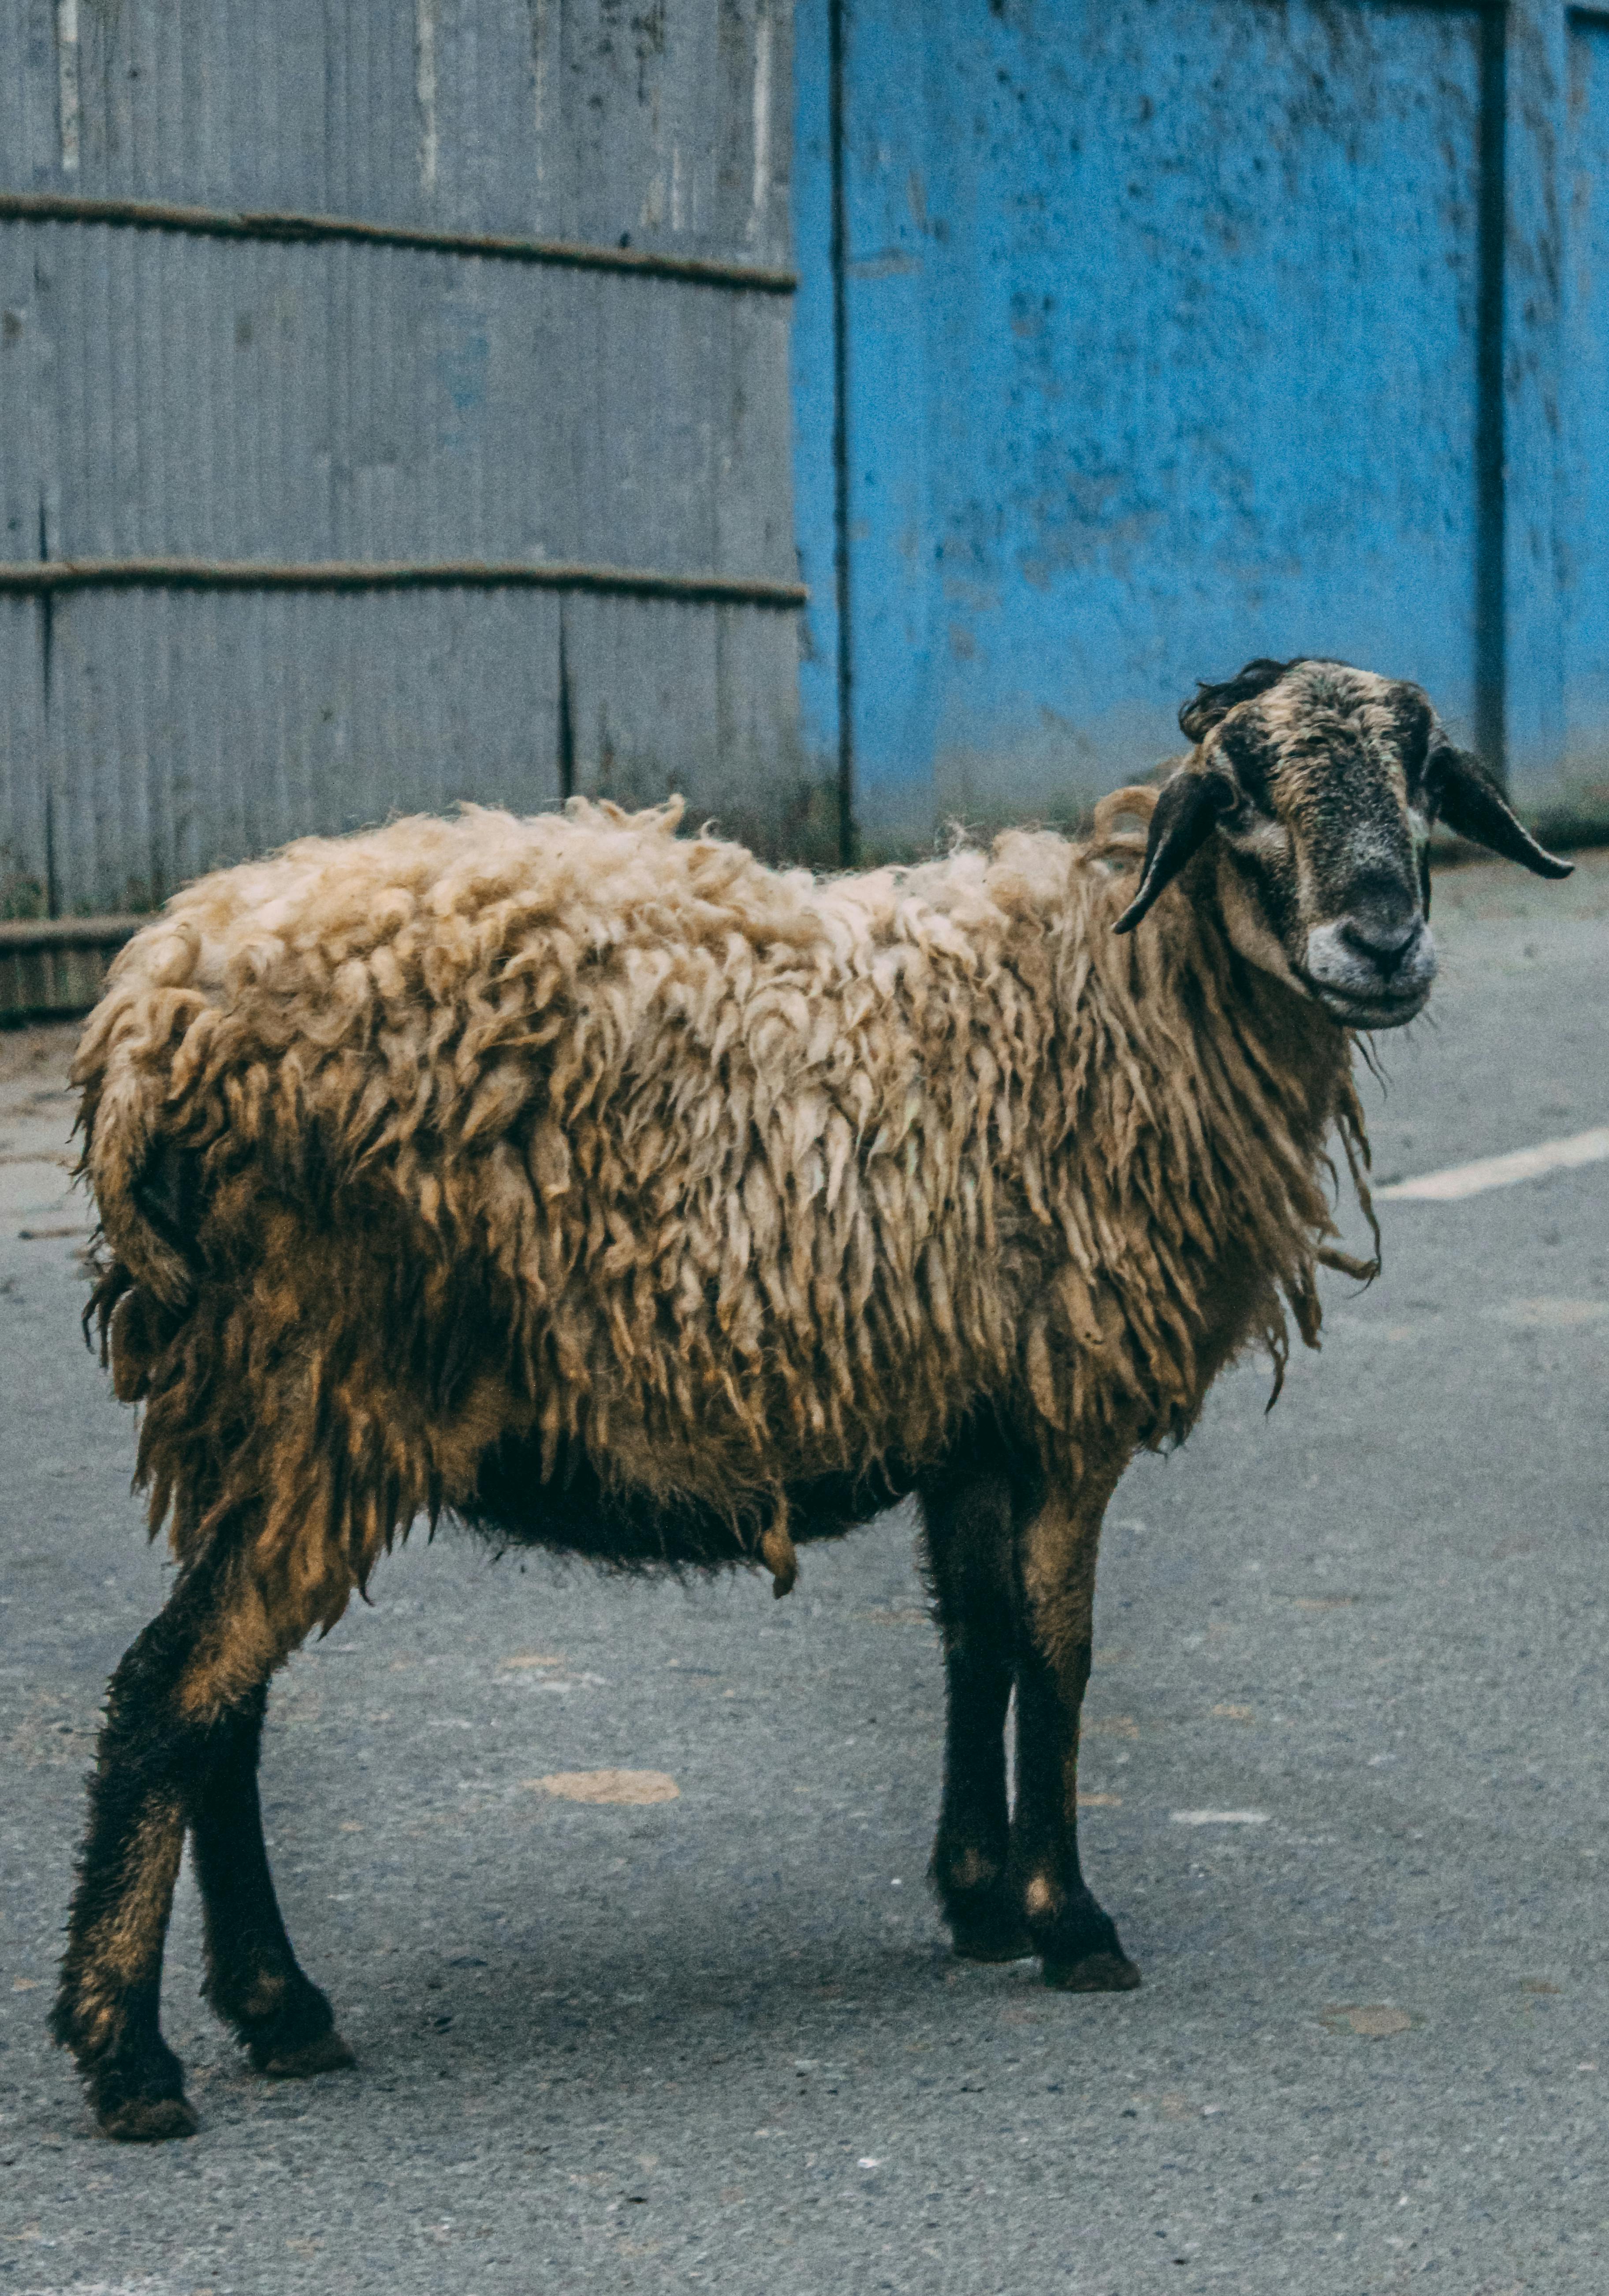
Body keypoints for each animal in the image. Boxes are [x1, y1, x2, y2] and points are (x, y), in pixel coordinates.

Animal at [53, 655, 1571, 2140]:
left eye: (1419, 774)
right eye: (1244, 793)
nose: (1382, 943)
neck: (1126, 986)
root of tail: (146, 1024)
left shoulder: (972, 1419)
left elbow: (975, 1642)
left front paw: (977, 1896)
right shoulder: (1065, 1402)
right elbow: (1058, 1656)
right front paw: (1069, 1919)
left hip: (252, 1407)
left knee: (227, 1706)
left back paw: (276, 2008)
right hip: (315, 1380)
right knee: (171, 1692)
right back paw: (132, 2056)